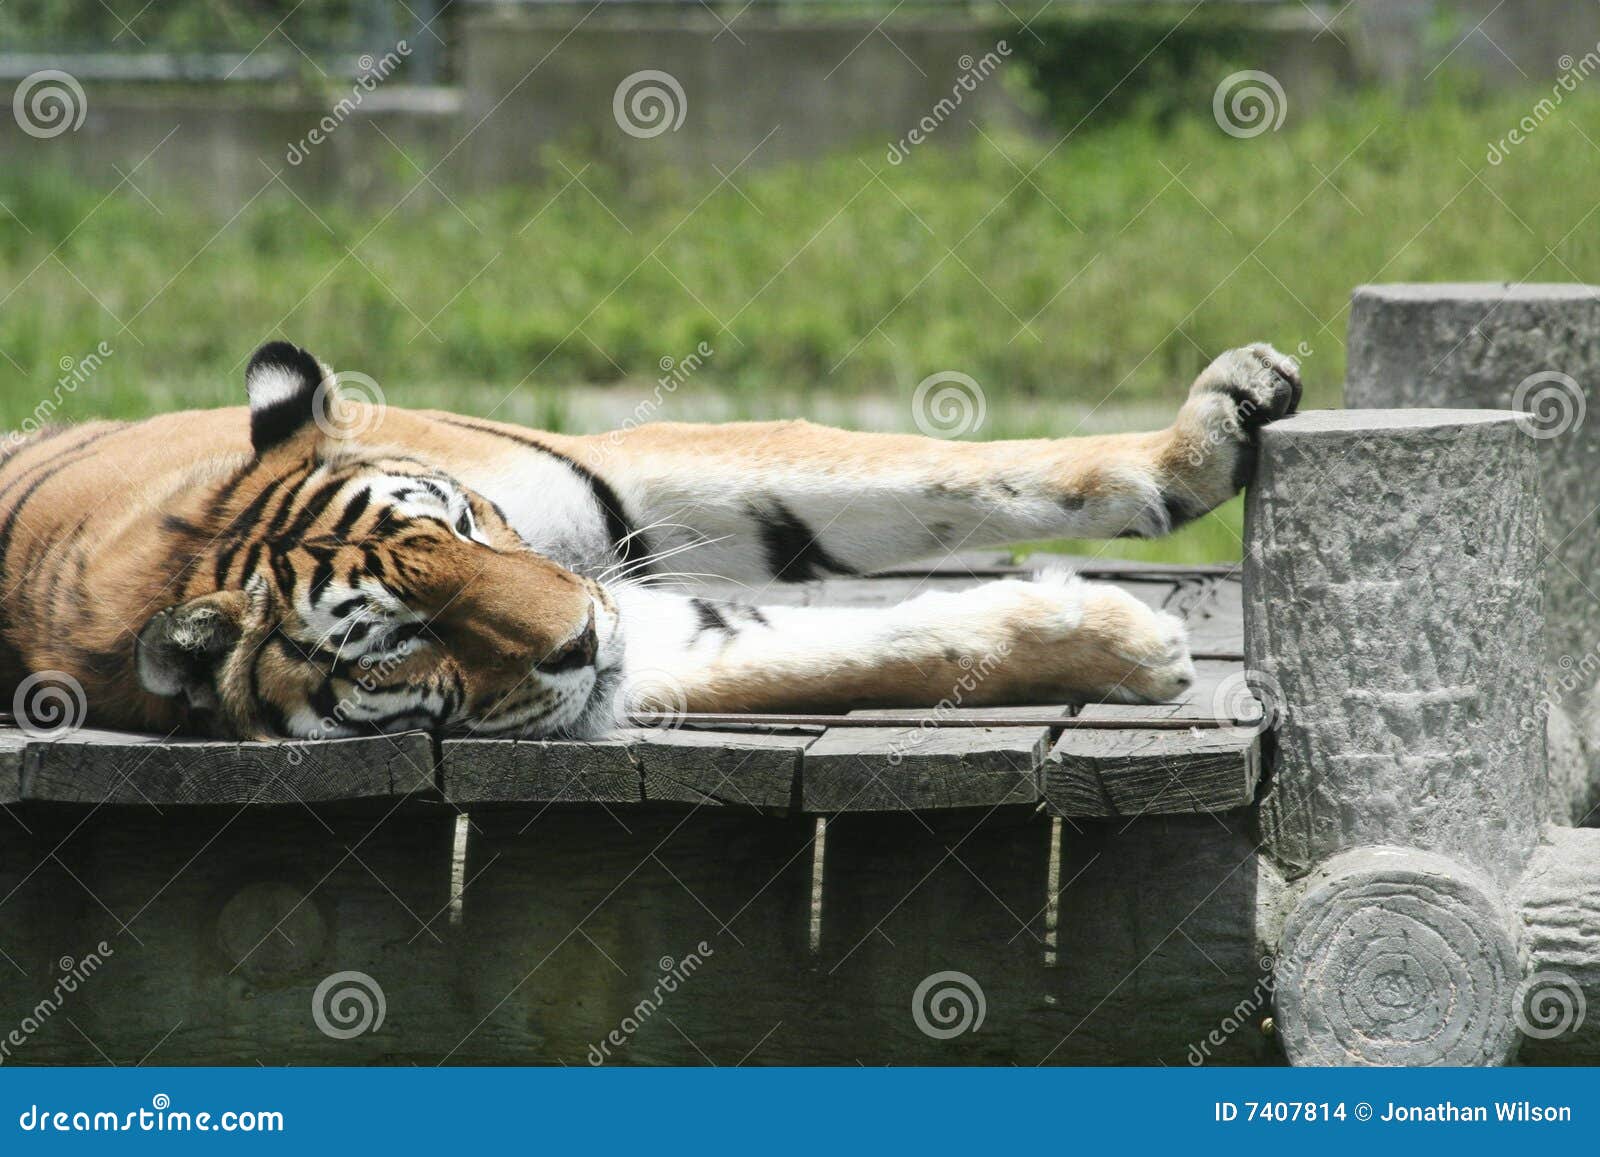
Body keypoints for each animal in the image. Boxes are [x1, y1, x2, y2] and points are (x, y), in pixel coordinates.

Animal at [0, 340, 1299, 741]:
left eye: (464, 526)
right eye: (397, 640)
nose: (581, 634)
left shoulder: (612, 486)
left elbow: (920, 465)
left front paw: (1206, 438)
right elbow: (844, 650)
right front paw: (1121, 642)